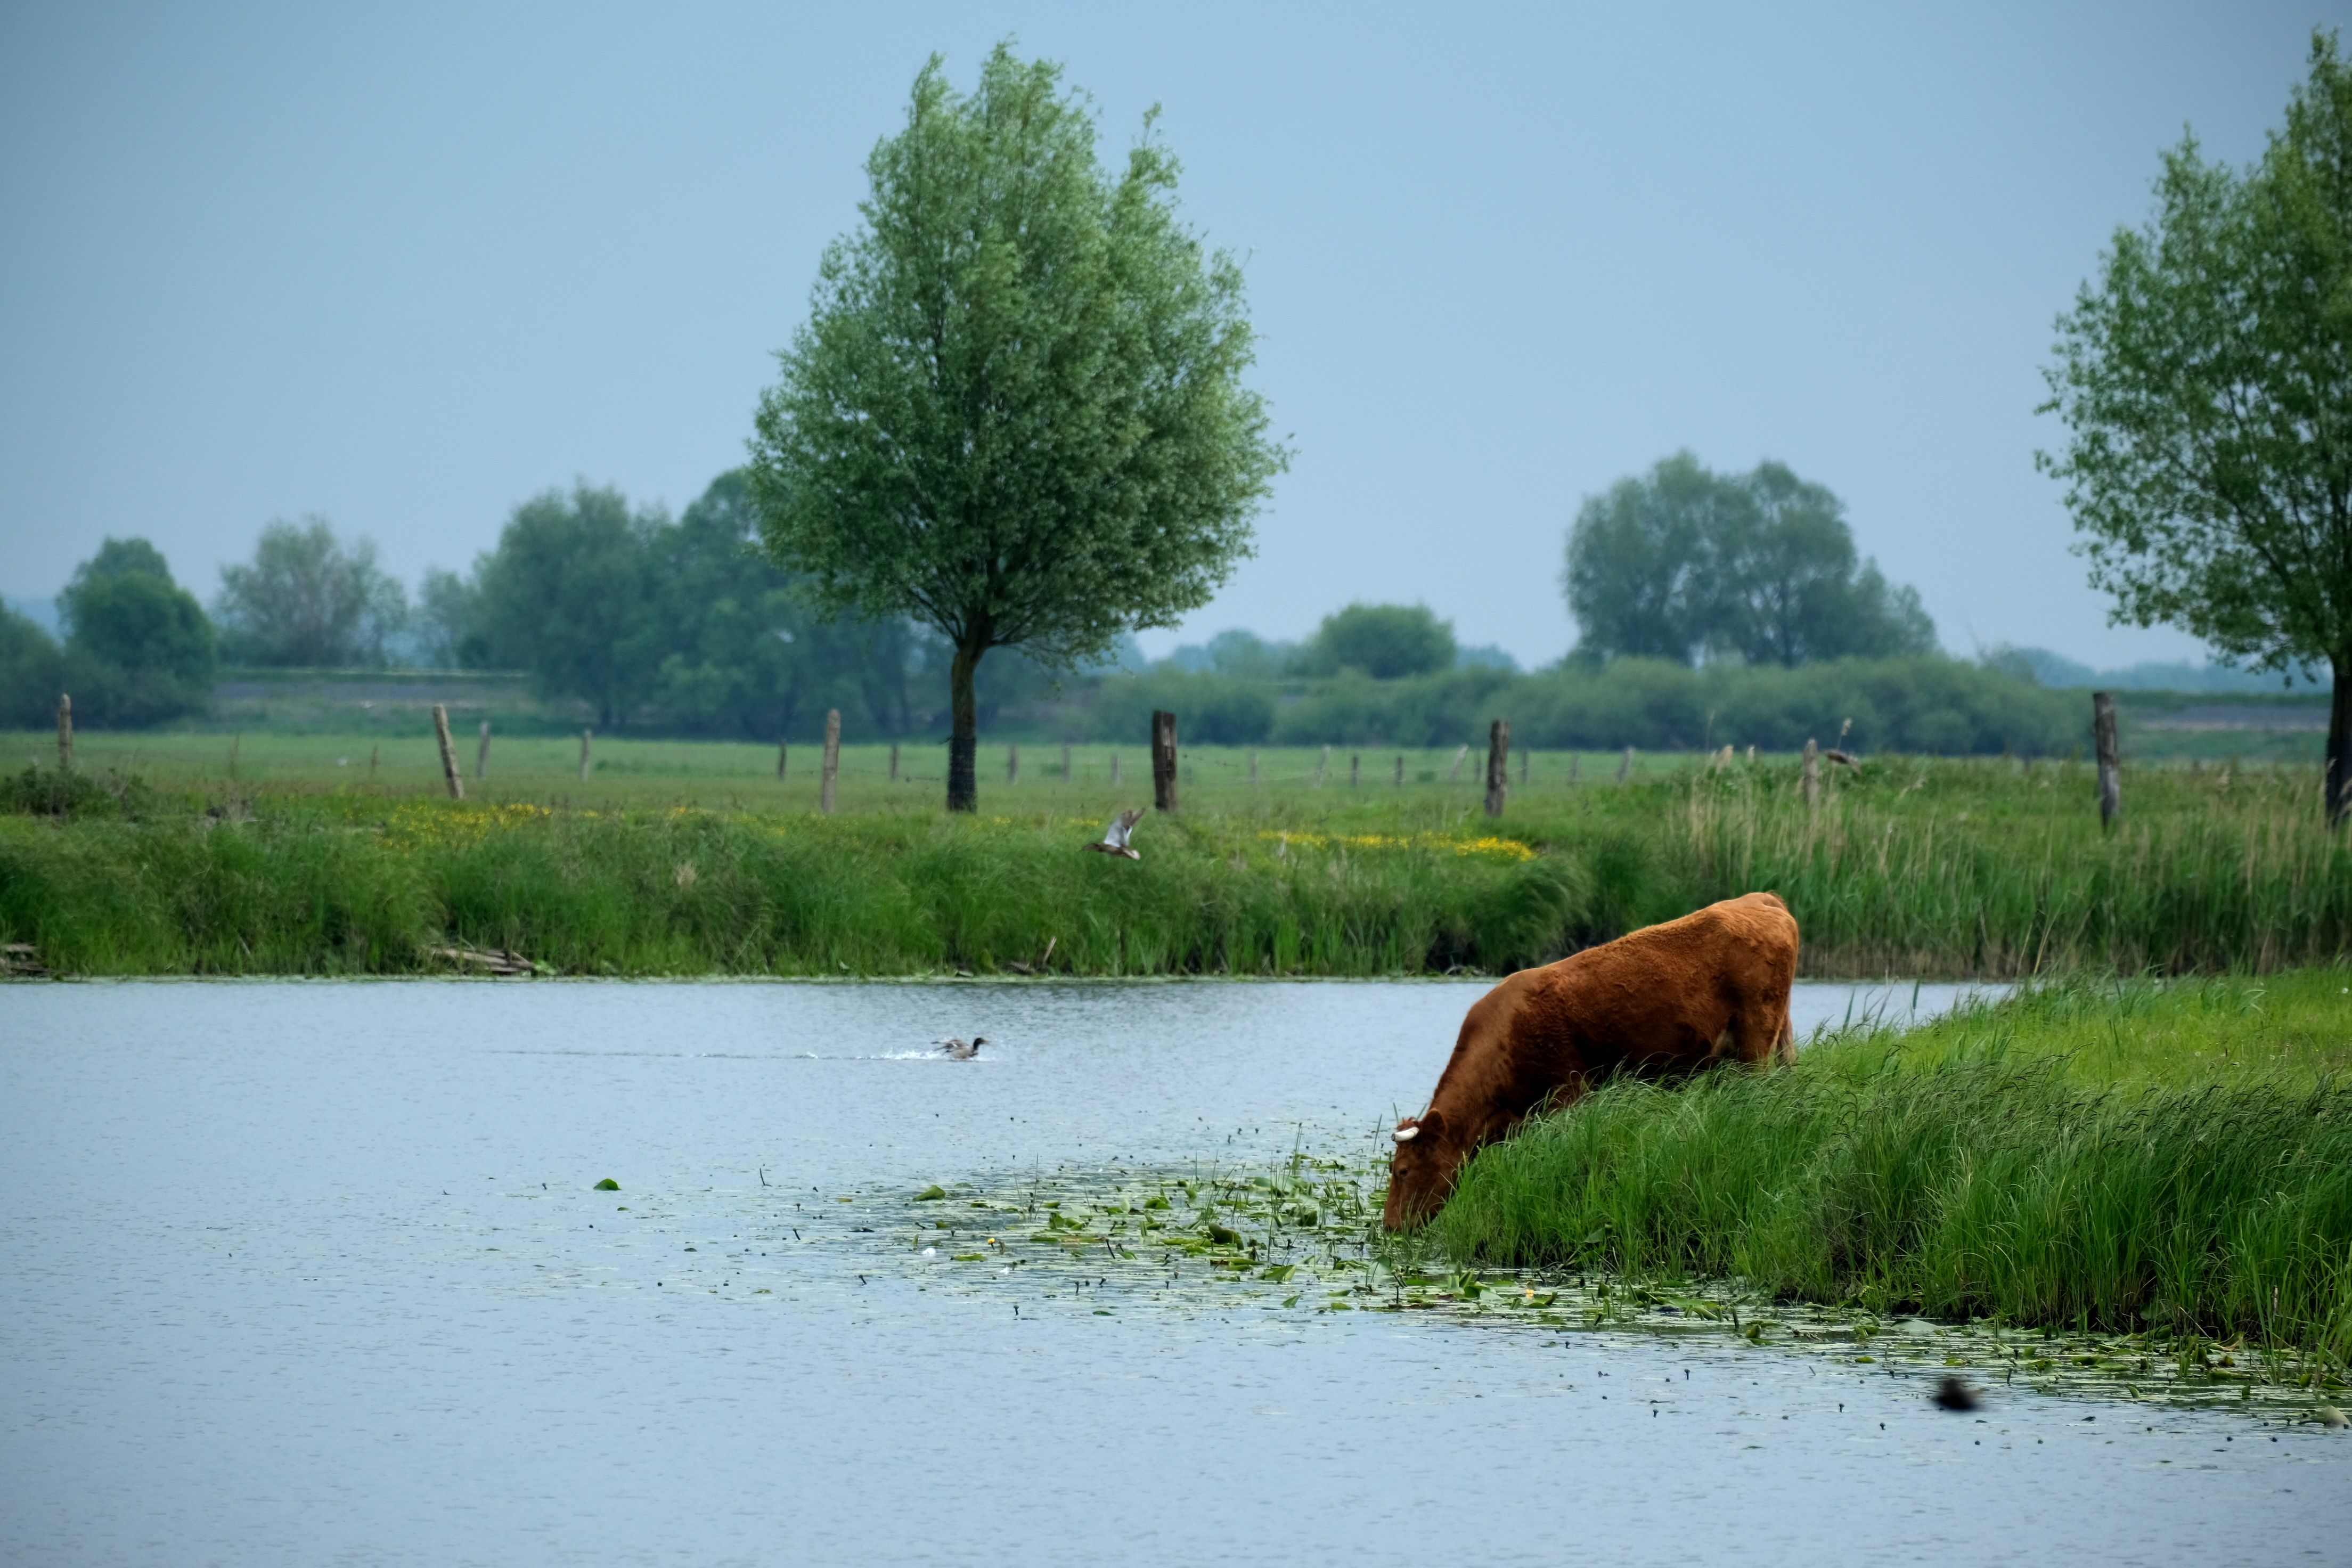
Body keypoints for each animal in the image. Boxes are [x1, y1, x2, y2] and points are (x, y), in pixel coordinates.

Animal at [1382, 891, 1799, 1229]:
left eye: (1402, 1170)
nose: (1389, 1227)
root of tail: (1761, 900)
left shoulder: (1569, 1092)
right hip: (1777, 1037)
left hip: (1756, 1039)